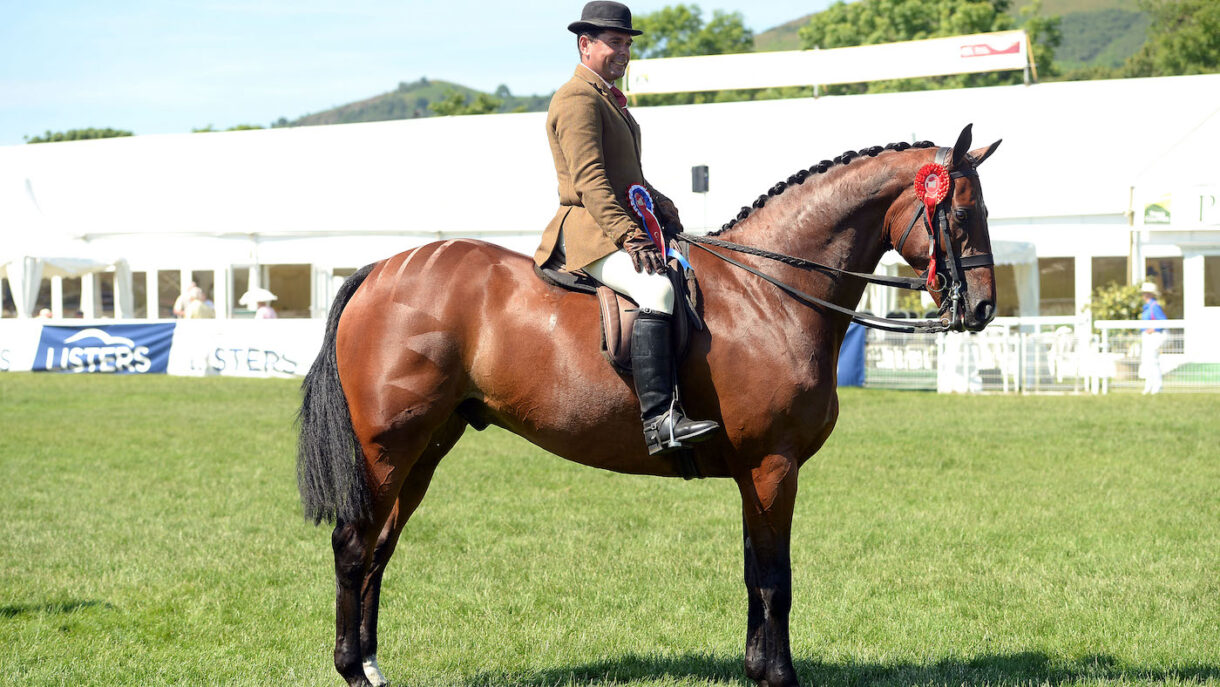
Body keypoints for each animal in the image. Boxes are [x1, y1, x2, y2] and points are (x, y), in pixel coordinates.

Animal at [297, 123, 1000, 687]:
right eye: (964, 216)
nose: (983, 308)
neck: (768, 294)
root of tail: (378, 270)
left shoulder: (753, 474)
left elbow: (754, 573)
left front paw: (755, 669)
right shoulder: (773, 467)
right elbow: (776, 580)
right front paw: (779, 677)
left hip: (425, 448)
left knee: (380, 549)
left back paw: (371, 666)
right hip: (388, 448)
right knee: (354, 548)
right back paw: (351, 670)